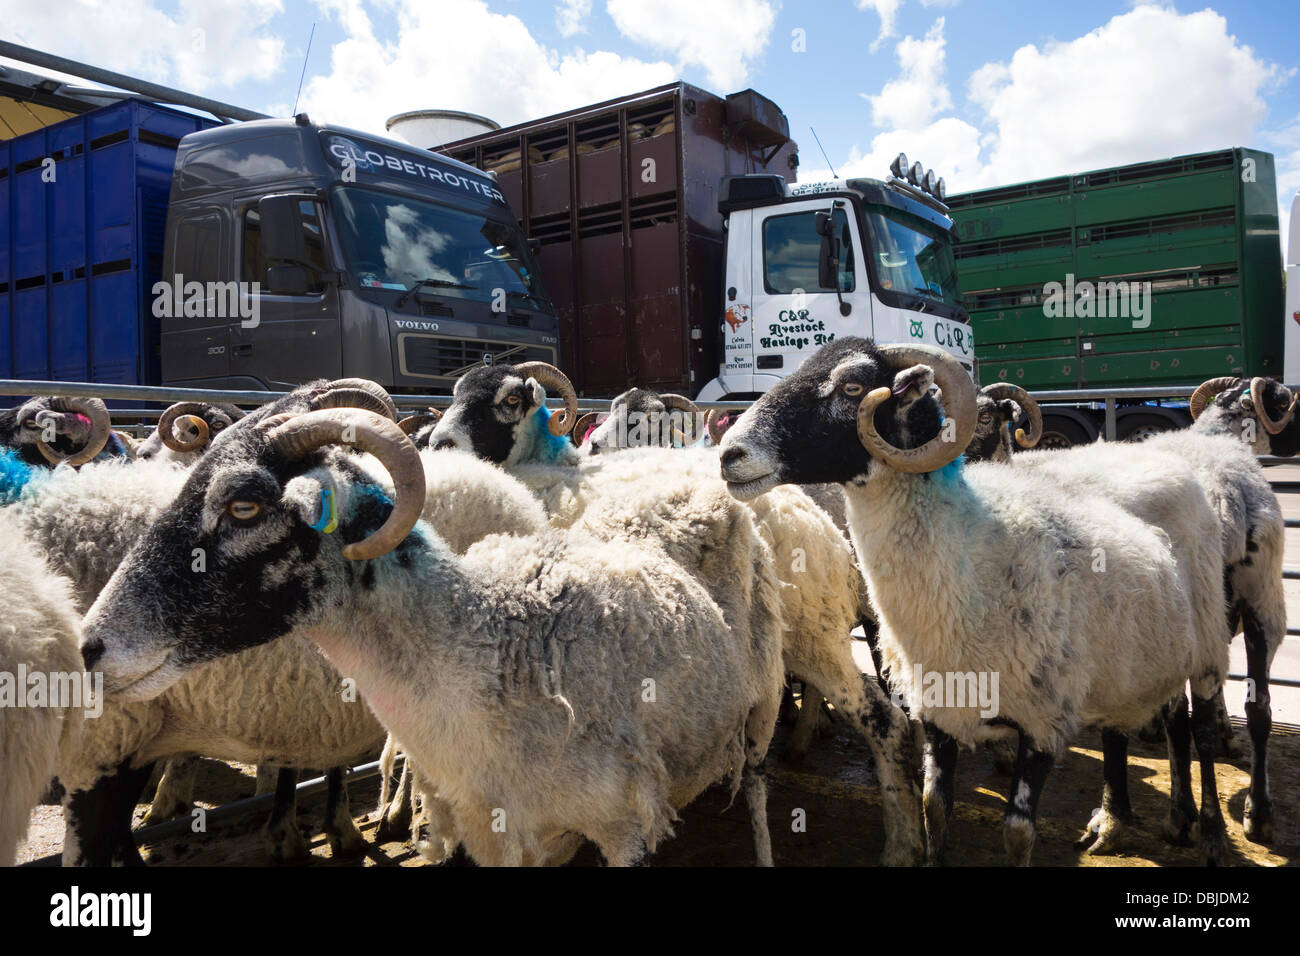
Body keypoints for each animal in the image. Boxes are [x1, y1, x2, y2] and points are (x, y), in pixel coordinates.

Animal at [79, 408, 786, 866]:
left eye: (243, 506)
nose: (89, 645)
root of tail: (679, 479)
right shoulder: (495, 833)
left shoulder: (624, 828)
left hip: (762, 702)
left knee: (756, 790)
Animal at [719, 337, 1230, 865]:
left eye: (852, 386)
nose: (729, 454)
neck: (970, 550)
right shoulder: (939, 711)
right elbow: (934, 809)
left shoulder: (1041, 721)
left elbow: (1018, 833)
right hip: (1135, 655)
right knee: (1143, 723)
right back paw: (1128, 821)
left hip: (1208, 644)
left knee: (1200, 730)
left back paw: (1209, 832)